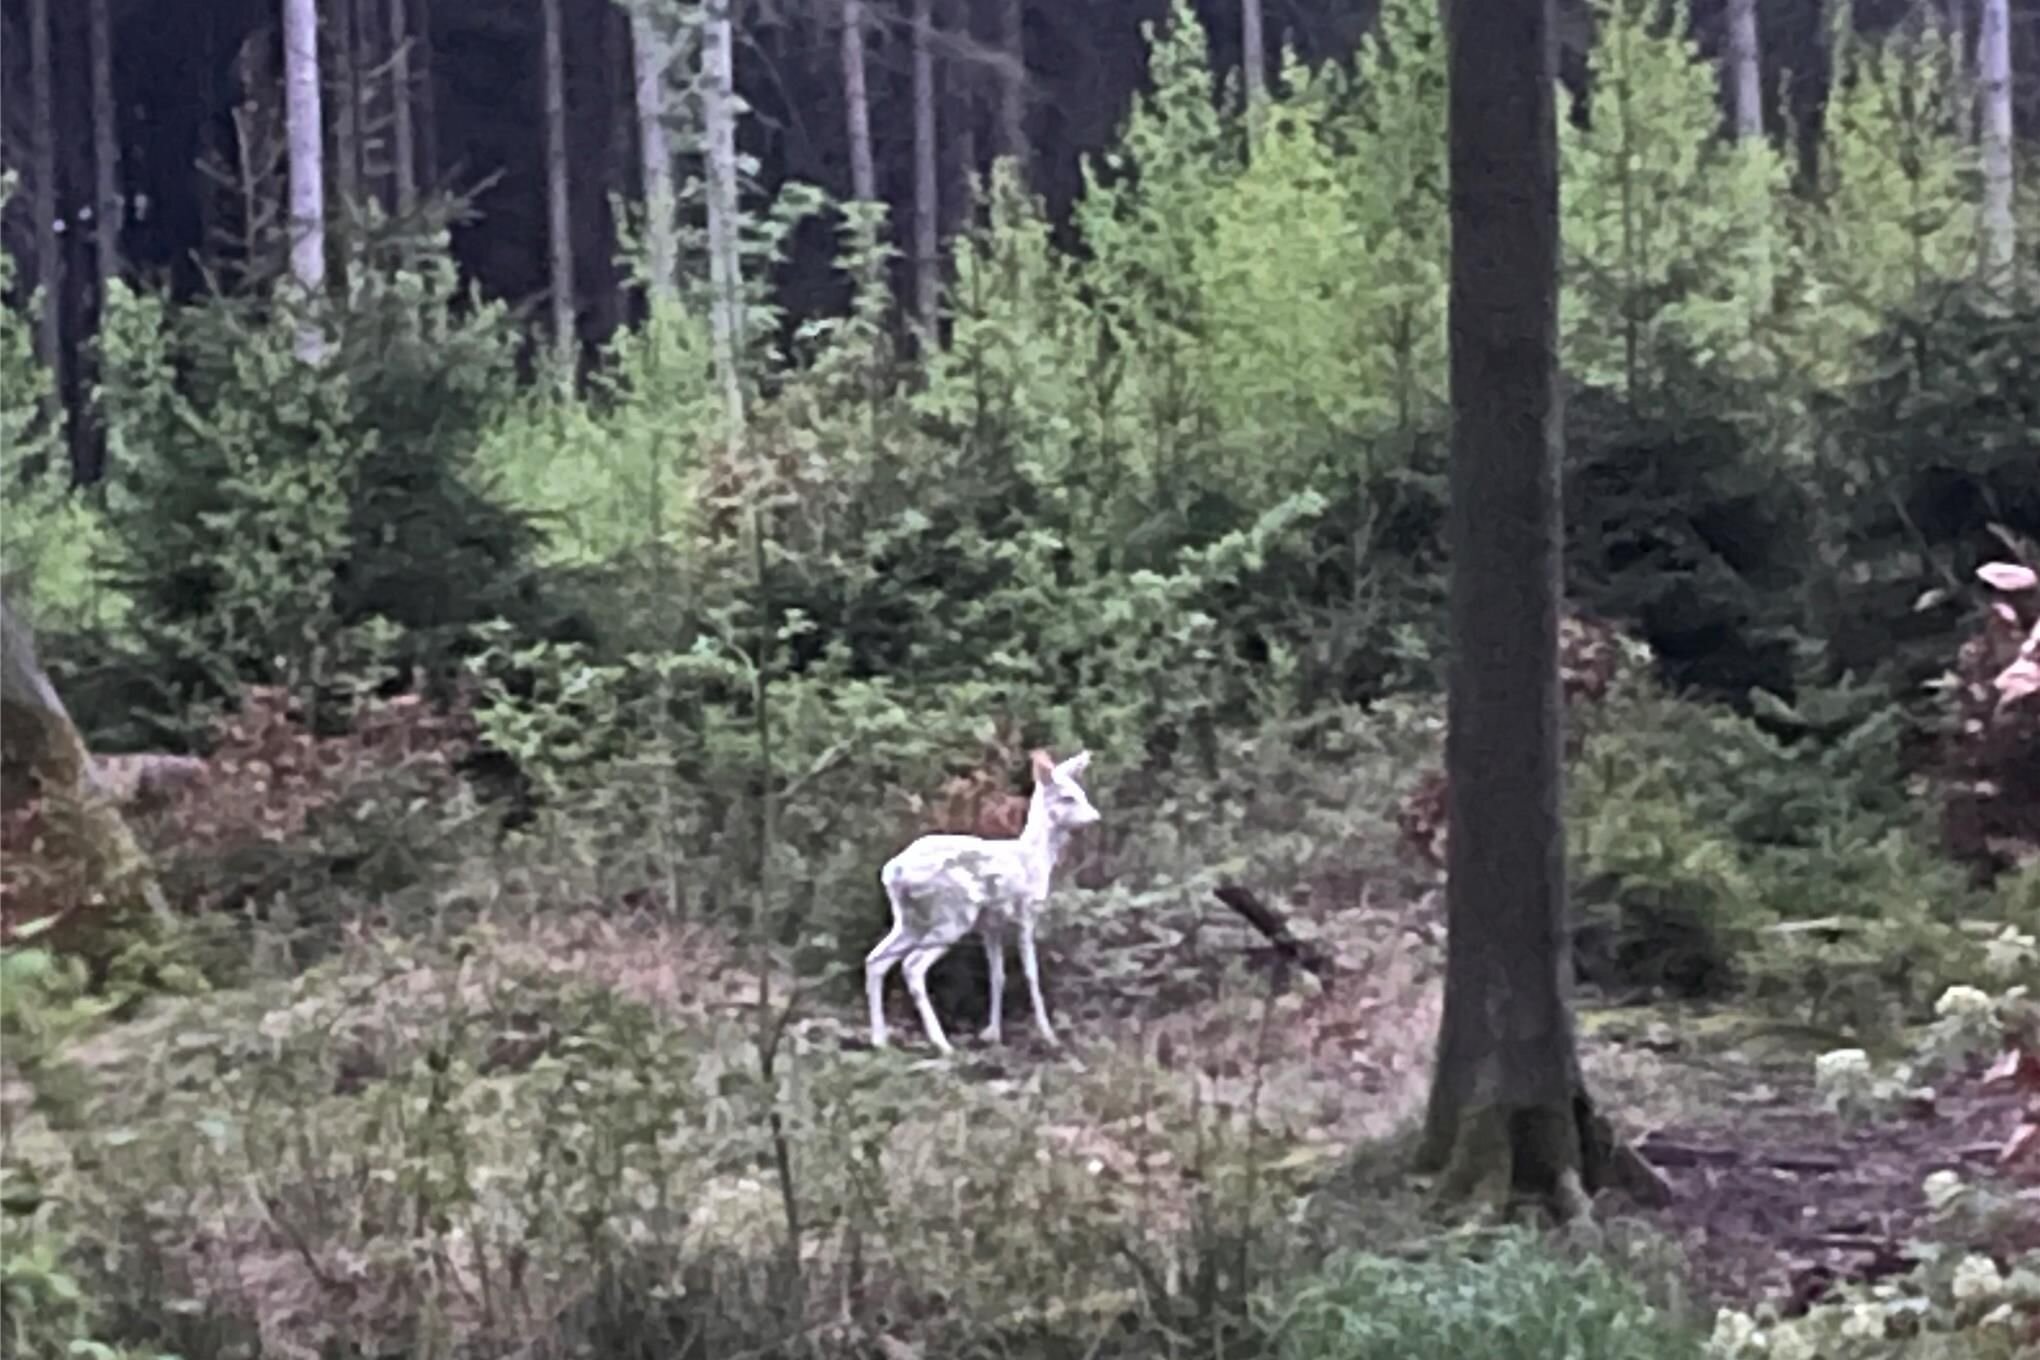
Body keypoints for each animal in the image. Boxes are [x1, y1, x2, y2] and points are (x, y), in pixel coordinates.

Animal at [866, 748, 1101, 1055]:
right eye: (1067, 797)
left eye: (1082, 793)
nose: (1096, 818)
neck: (1034, 860)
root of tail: (893, 873)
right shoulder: (1025, 914)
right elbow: (1030, 973)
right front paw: (1048, 1035)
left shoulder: (991, 925)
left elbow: (997, 975)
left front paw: (993, 1034)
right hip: (951, 915)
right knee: (912, 966)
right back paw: (943, 1045)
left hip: (909, 920)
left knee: (875, 960)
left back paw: (880, 1040)